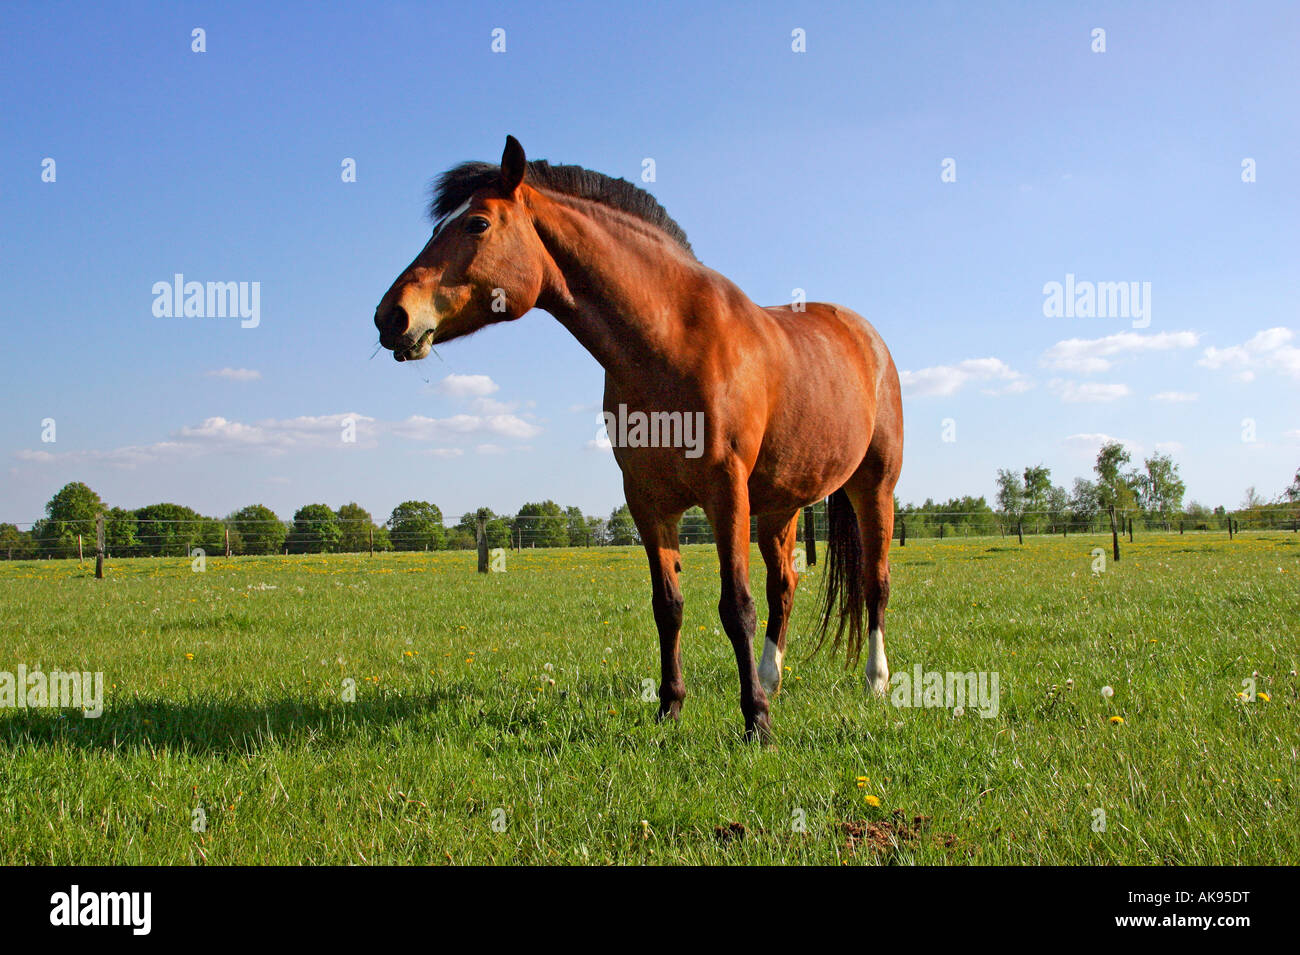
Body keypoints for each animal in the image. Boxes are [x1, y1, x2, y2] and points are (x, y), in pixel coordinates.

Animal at [375, 136, 903, 742]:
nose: (390, 317)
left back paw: (875, 682)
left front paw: (756, 725)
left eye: (478, 223)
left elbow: (736, 607)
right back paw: (772, 679)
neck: (673, 337)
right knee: (785, 586)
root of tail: (866, 336)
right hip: (780, 506)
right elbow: (667, 605)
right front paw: (670, 709)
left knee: (874, 582)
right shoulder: (648, 500)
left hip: (873, 488)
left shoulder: (726, 491)